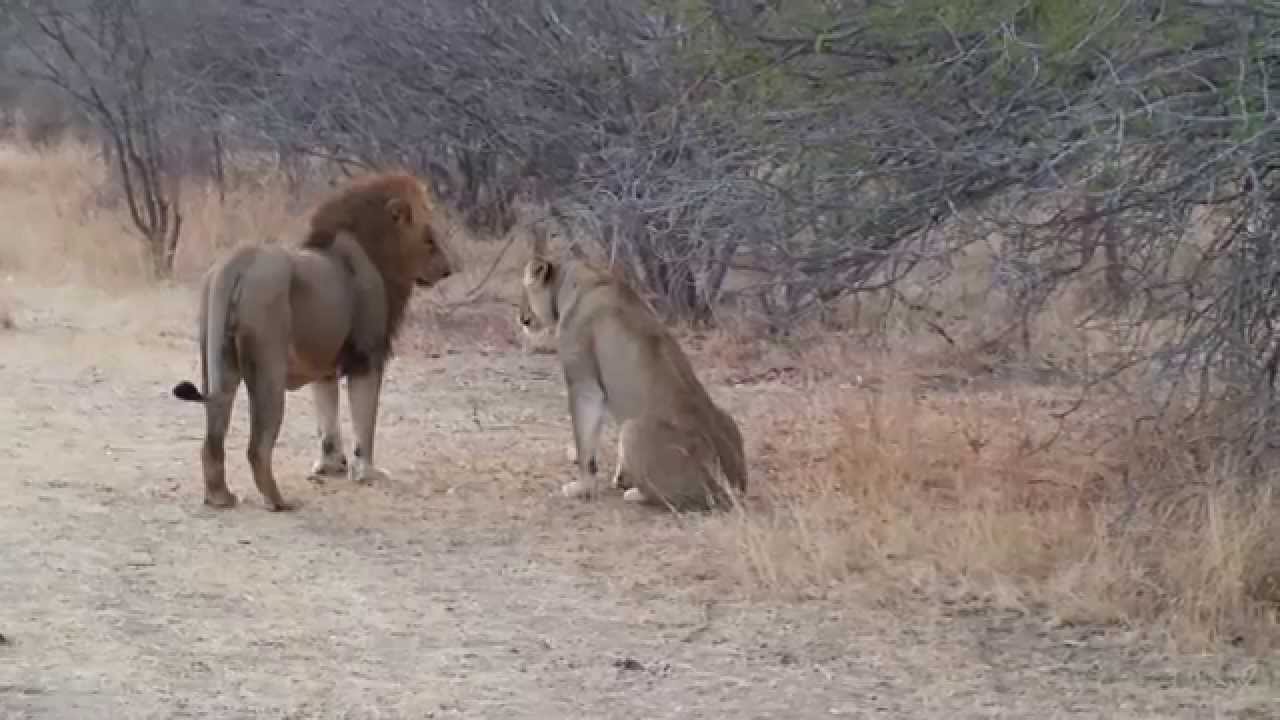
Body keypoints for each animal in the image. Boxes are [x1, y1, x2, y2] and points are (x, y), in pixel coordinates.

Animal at [170, 172, 455, 511]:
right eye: (429, 239)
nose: (448, 270)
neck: (377, 252)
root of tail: (237, 263)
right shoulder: (367, 357)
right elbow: (365, 421)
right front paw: (367, 473)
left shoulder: (324, 364)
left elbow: (327, 419)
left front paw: (331, 467)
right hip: (268, 368)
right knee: (257, 447)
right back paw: (279, 502)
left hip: (217, 361)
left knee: (212, 439)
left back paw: (220, 498)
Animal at [517, 247, 747, 511]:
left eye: (524, 292)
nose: (521, 318)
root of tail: (733, 484)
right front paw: (620, 476)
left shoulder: (584, 381)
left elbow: (584, 443)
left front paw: (582, 488)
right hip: (727, 417)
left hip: (633, 429)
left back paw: (635, 493)